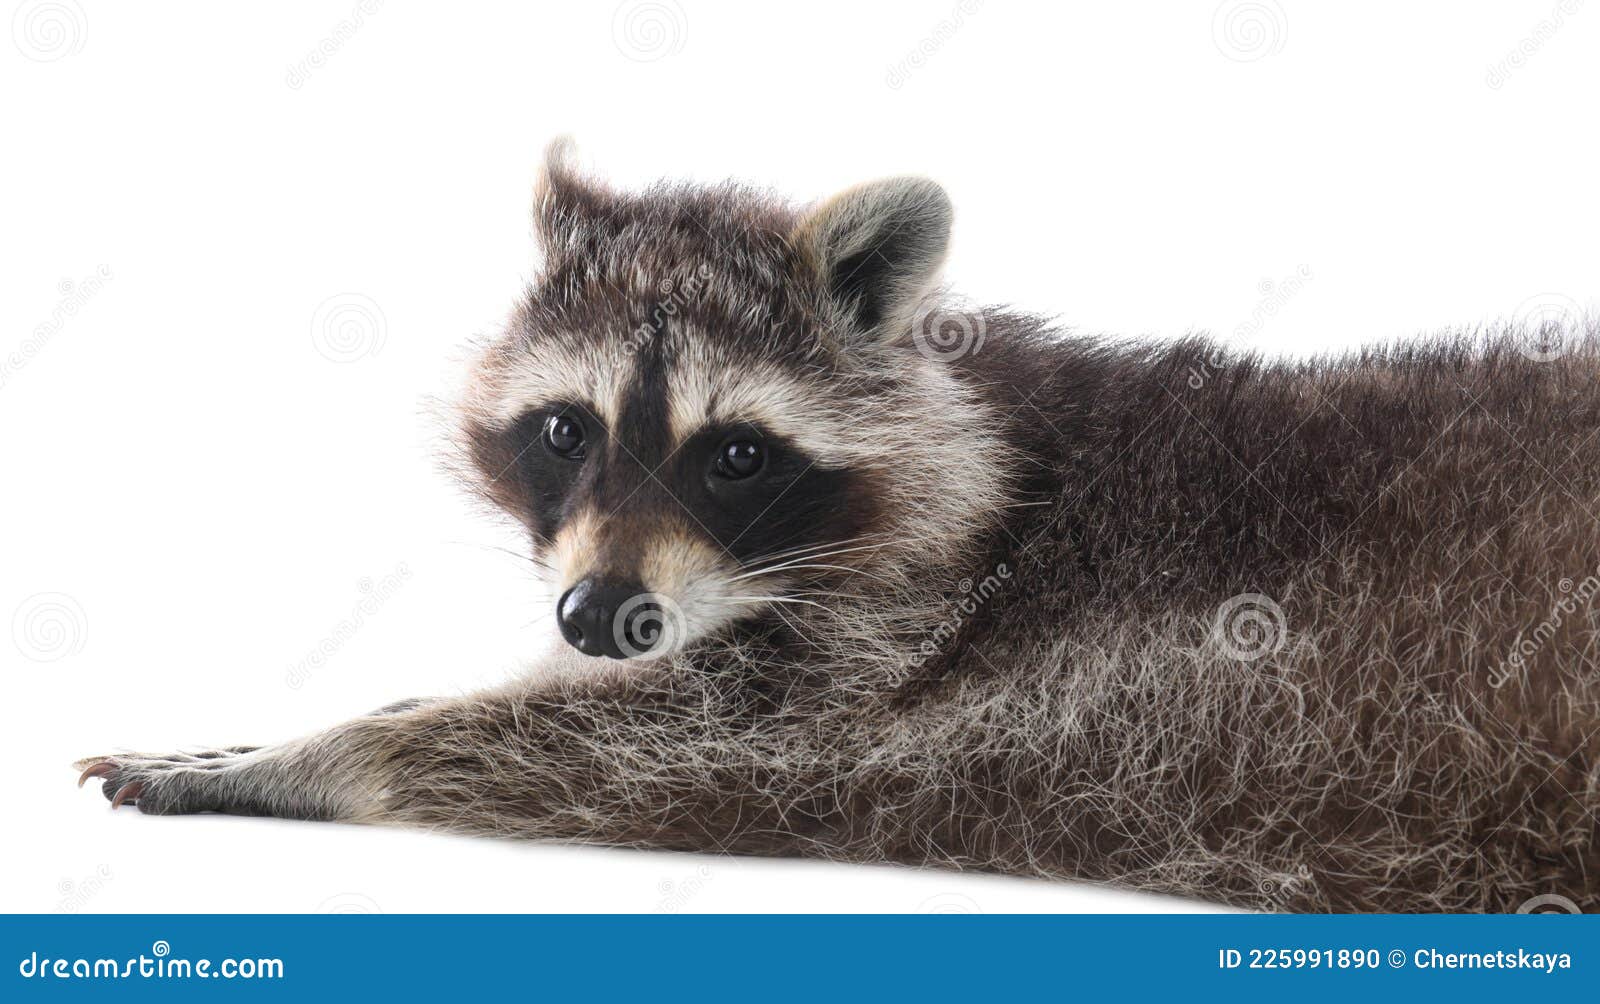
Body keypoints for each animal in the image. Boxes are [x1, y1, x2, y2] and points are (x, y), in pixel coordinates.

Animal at [78, 143, 1600, 913]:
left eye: (737, 455)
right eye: (566, 430)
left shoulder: (892, 683)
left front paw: (312, 753)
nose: (599, 614)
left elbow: (619, 742)